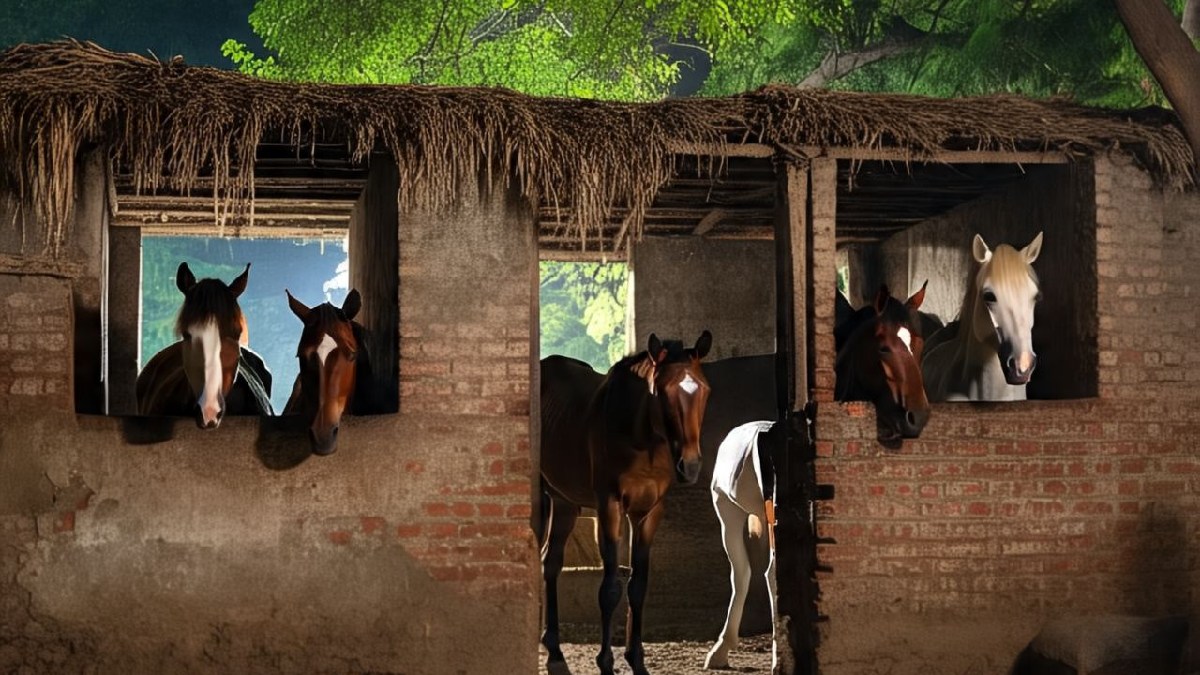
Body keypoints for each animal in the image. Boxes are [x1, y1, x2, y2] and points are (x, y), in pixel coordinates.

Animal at [539, 331, 713, 675]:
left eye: (704, 389)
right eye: (664, 392)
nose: (690, 466)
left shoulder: (649, 512)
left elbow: (638, 585)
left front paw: (637, 660)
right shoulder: (610, 507)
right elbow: (610, 589)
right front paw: (606, 662)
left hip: (564, 503)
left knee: (550, 563)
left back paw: (554, 652)